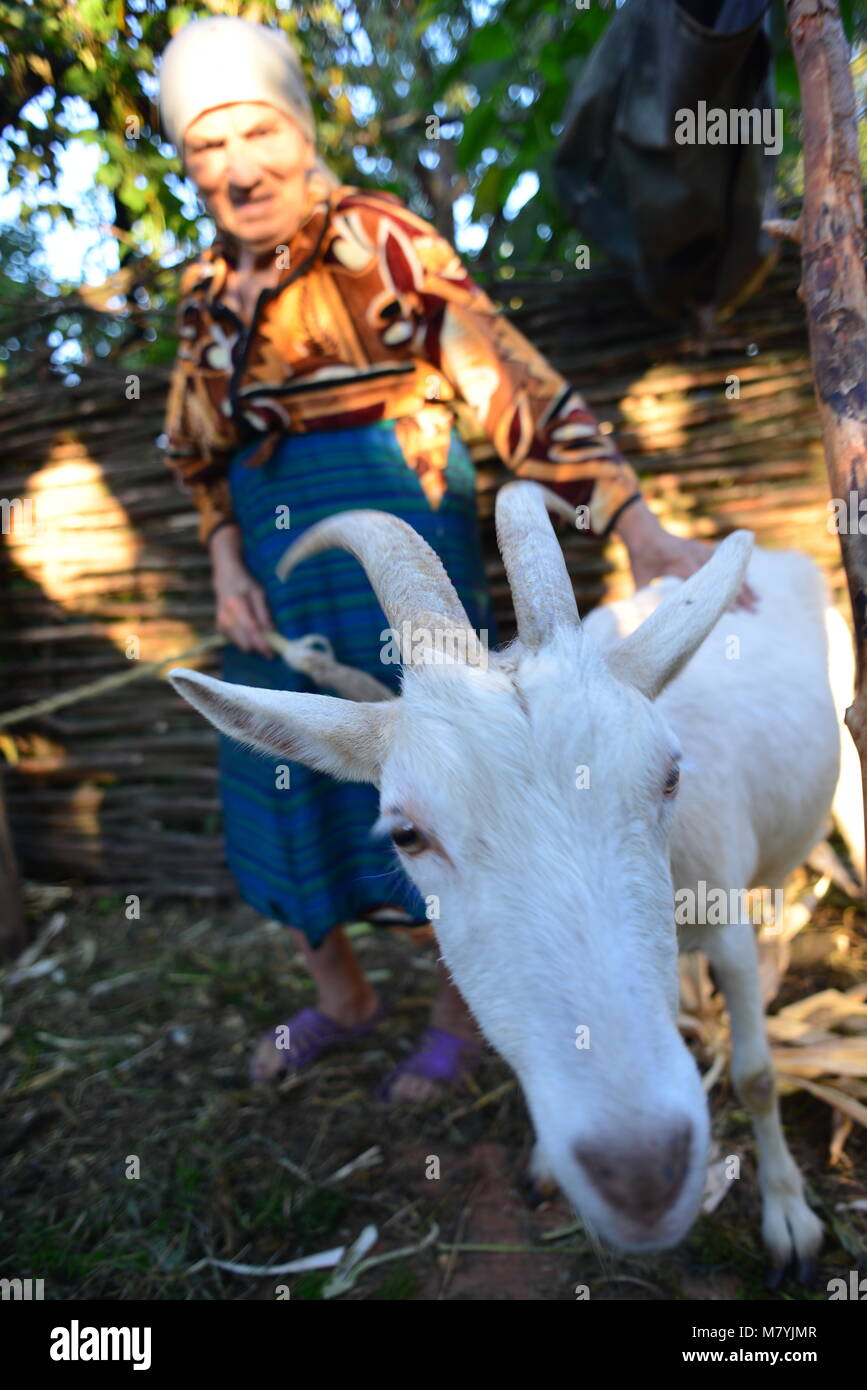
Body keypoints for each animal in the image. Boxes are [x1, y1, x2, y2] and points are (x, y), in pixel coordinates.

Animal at [169, 480, 846, 1278]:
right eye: (405, 832)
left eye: (669, 776)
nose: (643, 1176)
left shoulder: (727, 918)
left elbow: (757, 1075)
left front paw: (789, 1221)